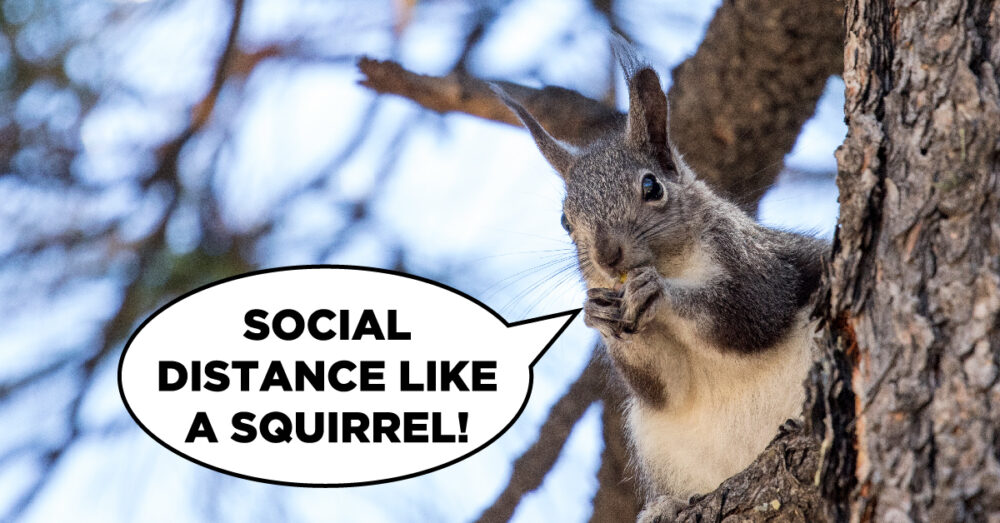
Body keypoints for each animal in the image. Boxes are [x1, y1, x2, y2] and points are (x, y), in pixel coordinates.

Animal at [492, 53, 827, 518]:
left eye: (652, 187)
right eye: (564, 220)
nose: (607, 256)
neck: (672, 264)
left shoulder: (757, 266)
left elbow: (748, 313)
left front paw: (660, 293)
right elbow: (662, 383)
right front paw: (597, 315)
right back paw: (668, 504)